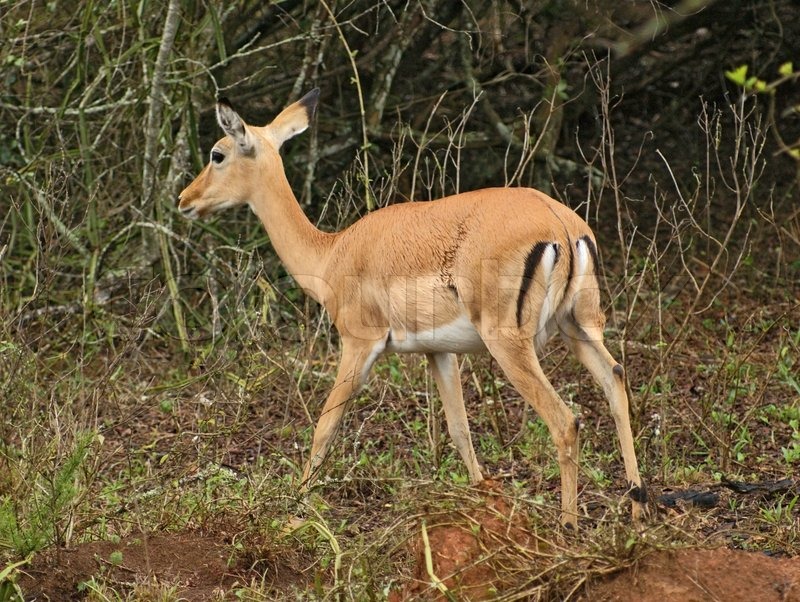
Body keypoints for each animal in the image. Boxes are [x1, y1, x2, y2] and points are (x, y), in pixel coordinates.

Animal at [178, 89, 646, 527]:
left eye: (217, 153)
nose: (185, 200)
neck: (331, 254)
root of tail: (562, 225)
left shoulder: (359, 345)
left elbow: (325, 426)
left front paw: (293, 511)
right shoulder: (439, 352)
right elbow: (460, 429)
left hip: (510, 342)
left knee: (565, 420)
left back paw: (568, 525)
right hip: (579, 327)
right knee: (616, 380)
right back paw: (639, 508)